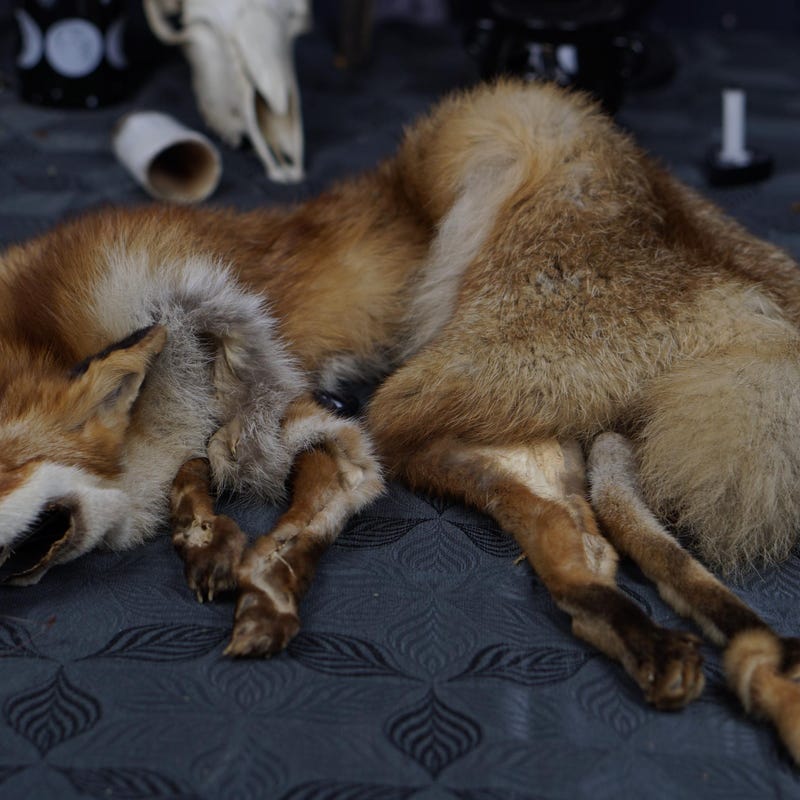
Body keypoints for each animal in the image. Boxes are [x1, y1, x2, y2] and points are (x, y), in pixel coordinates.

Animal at [2, 80, 800, 758]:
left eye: (7, 470)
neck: (53, 321)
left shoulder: (280, 385)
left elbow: (301, 489)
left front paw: (266, 584)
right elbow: (203, 477)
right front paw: (212, 545)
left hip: (440, 327)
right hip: (517, 444)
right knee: (593, 548)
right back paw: (705, 658)